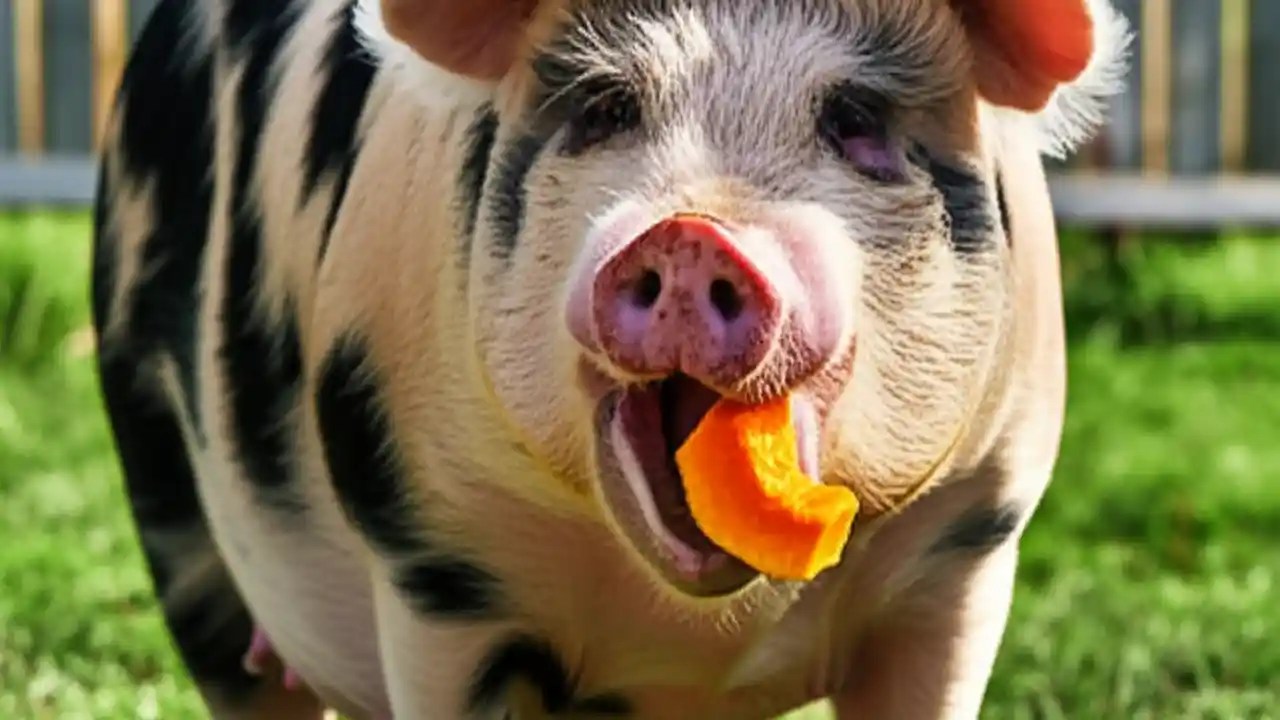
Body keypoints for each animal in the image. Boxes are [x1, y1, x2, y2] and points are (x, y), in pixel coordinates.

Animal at [90, 0, 1129, 718]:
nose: (694, 232)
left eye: (855, 119)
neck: (697, 635)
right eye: (607, 106)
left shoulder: (971, 545)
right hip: (163, 486)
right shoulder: (433, 568)